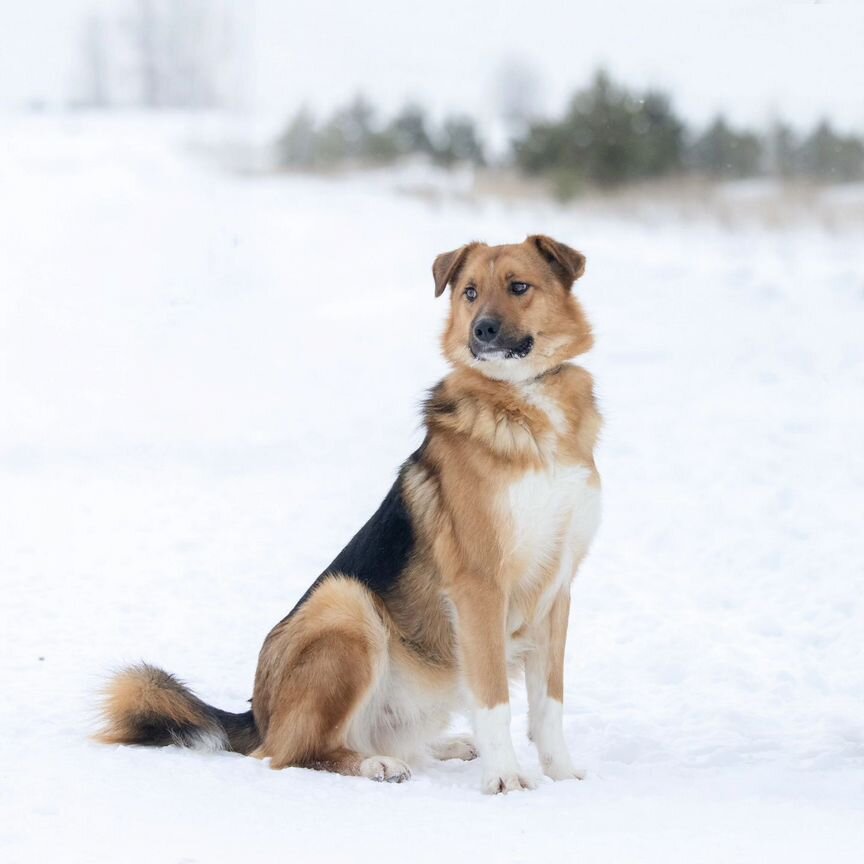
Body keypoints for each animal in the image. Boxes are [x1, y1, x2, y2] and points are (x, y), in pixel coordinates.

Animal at [98, 233, 600, 792]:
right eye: (470, 292)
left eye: (518, 287)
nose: (482, 330)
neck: (526, 399)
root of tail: (257, 716)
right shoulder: (480, 586)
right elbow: (494, 701)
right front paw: (506, 779)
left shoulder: (558, 589)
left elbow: (549, 703)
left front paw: (562, 774)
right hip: (347, 607)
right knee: (292, 752)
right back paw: (375, 765)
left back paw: (440, 746)